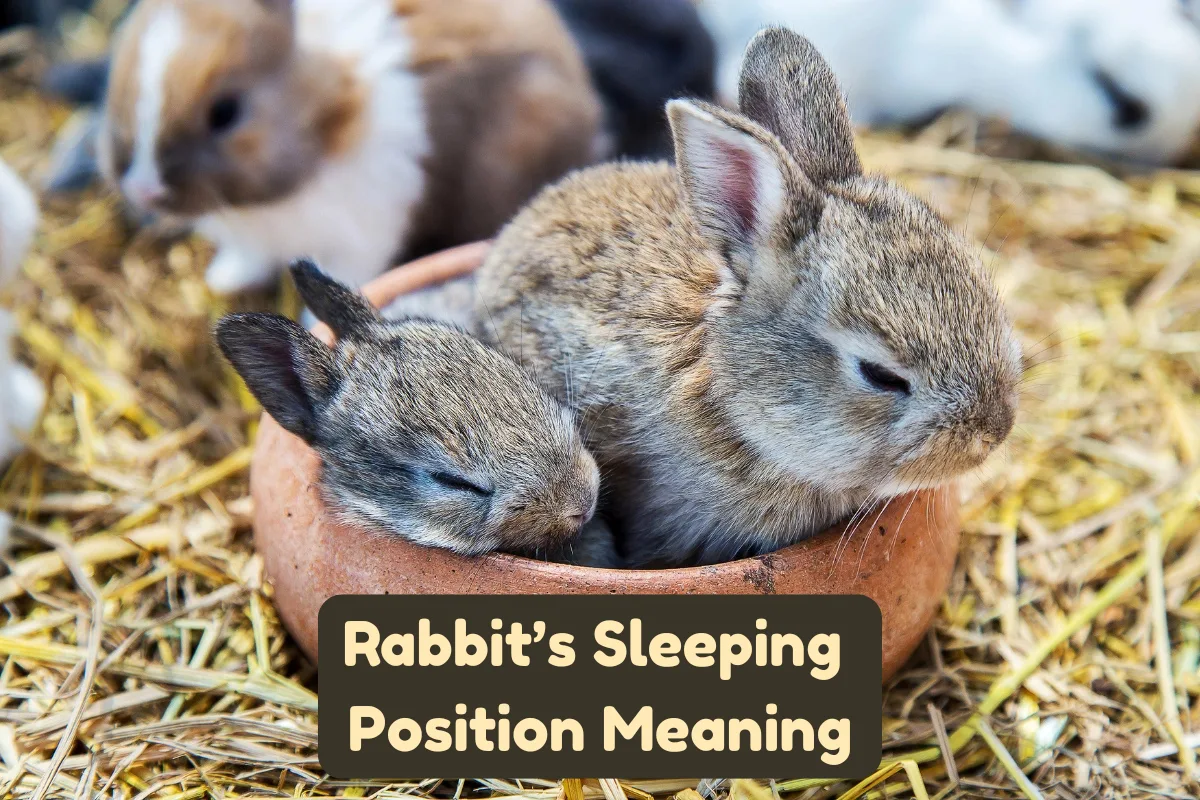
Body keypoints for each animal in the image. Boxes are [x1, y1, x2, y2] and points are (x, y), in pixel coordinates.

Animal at [97, 0, 604, 295]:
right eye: (119, 71)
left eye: (225, 111)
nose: (142, 189)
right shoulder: (253, 239)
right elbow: (249, 258)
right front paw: (223, 282)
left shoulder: (361, 238)